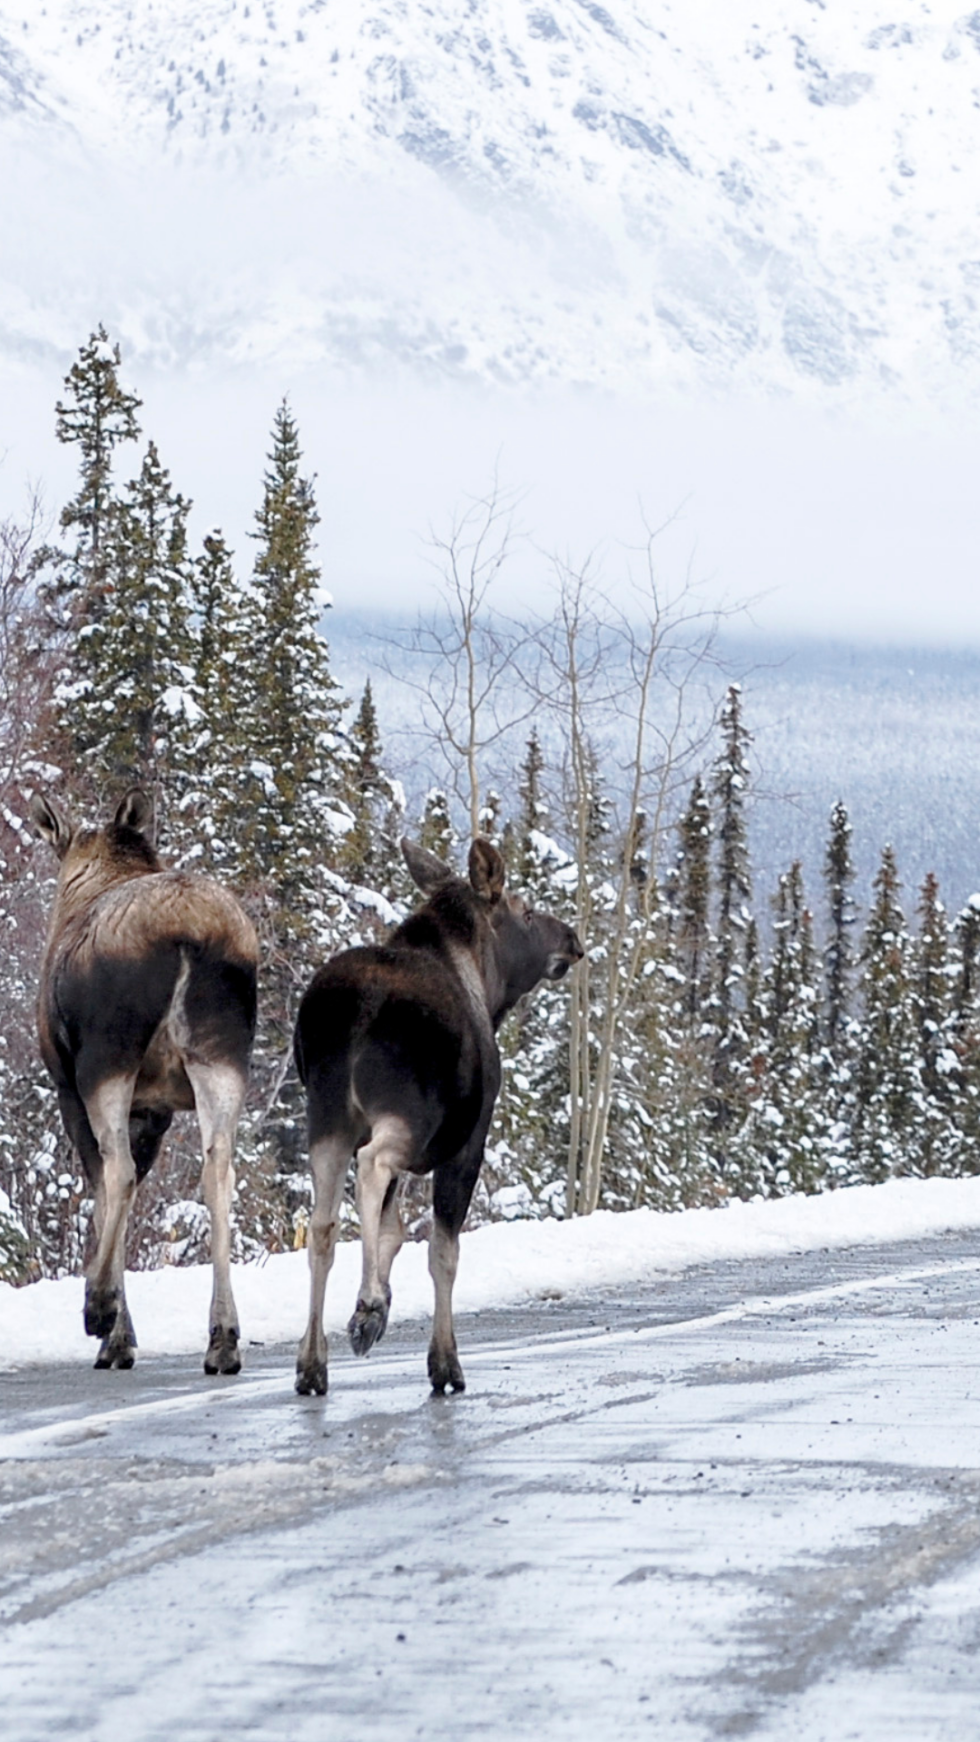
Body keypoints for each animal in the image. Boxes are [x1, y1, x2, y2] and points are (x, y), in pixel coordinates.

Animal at [31, 789, 259, 1375]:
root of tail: (187, 933)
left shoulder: (69, 1088)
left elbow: (101, 1193)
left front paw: (117, 1331)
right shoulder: (156, 1110)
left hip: (106, 1060)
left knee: (119, 1173)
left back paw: (99, 1310)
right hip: (221, 1058)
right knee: (218, 1173)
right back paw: (223, 1338)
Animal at [293, 835, 584, 1398]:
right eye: (526, 911)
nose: (573, 939)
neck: (485, 986)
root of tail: (360, 1005)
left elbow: (392, 1231)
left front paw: (383, 1307)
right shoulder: (466, 1144)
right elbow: (441, 1251)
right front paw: (442, 1360)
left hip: (327, 1118)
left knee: (322, 1224)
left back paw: (312, 1359)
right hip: (406, 1116)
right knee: (371, 1166)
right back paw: (363, 1306)